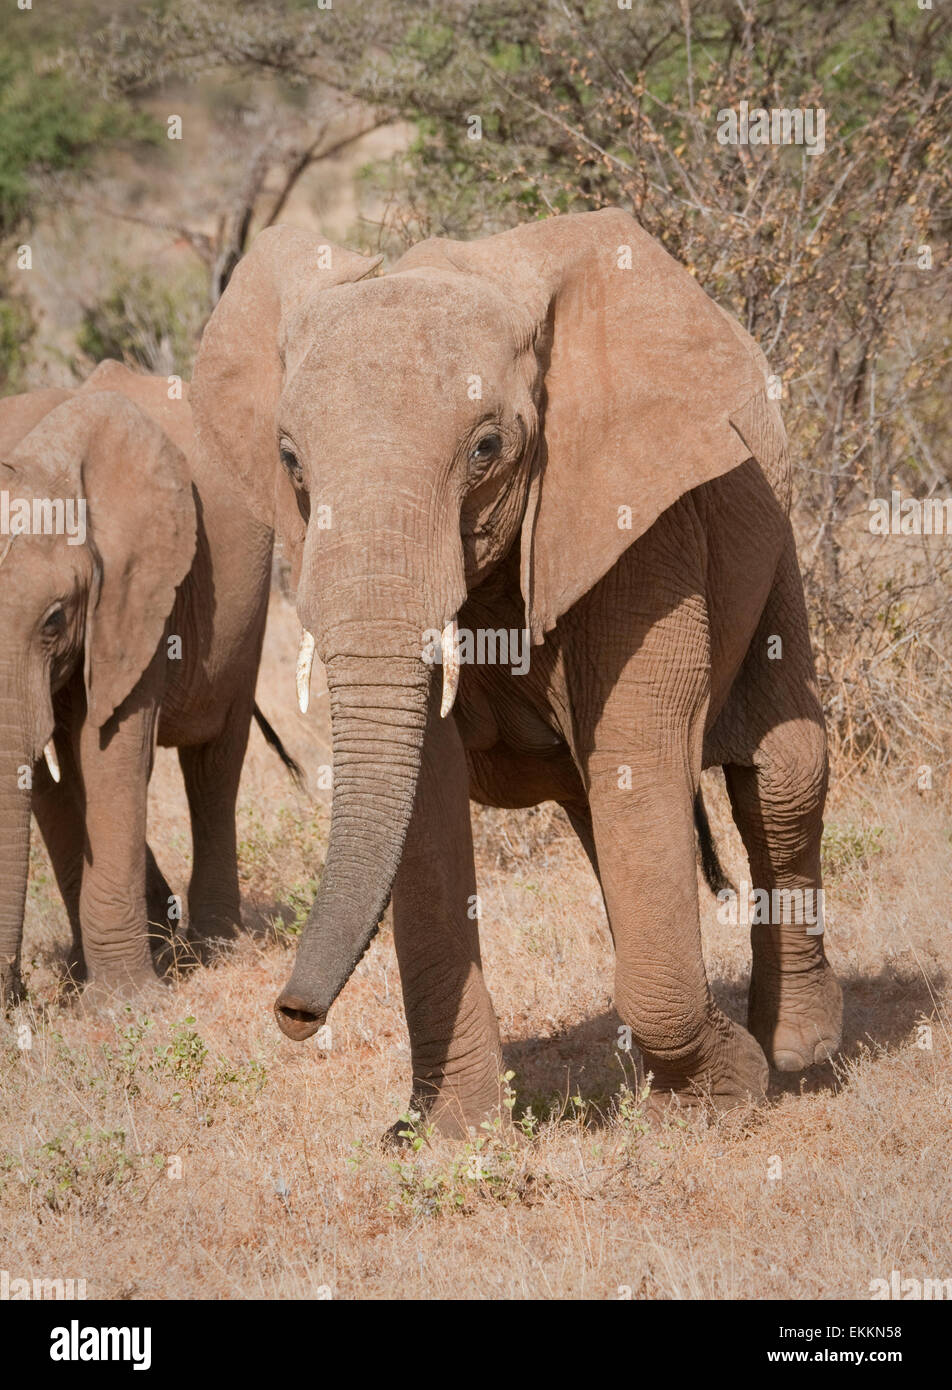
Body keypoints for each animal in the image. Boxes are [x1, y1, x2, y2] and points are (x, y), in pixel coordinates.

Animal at [0, 360, 290, 1007]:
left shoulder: (142, 591)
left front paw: (126, 1006)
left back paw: (211, 949)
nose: (17, 999)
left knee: (212, 764)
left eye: (54, 619)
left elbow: (109, 752)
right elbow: (58, 775)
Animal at [191, 208, 843, 1132]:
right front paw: (447, 1133)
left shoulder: (638, 525)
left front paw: (727, 1096)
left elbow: (640, 755)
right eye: (288, 460)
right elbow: (425, 805)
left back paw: (799, 1051)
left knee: (779, 776)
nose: (292, 1014)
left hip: (774, 530)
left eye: (488, 448)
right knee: (609, 822)